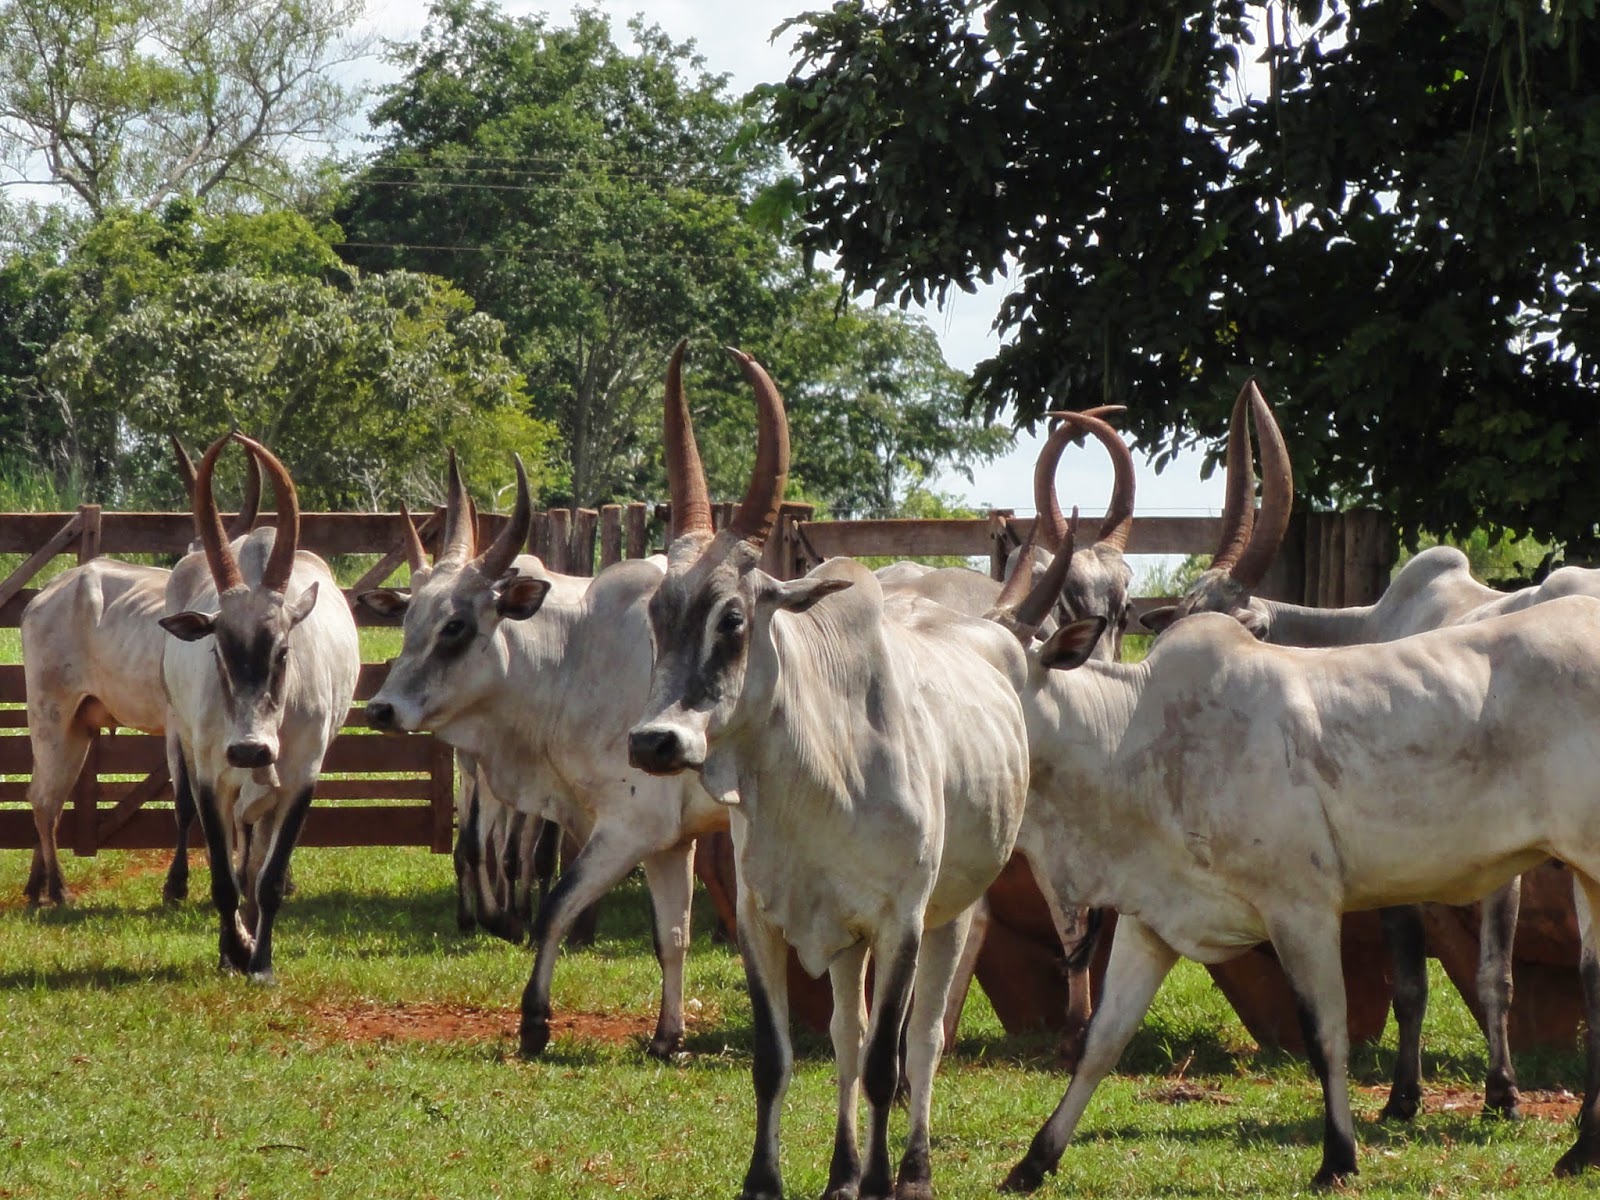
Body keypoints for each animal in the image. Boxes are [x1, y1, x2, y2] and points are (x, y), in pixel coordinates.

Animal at [19, 440, 259, 906]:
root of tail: (46, 595)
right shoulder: (177, 729)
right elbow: (188, 803)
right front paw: (177, 884)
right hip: (50, 713)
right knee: (42, 797)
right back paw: (57, 888)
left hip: (77, 727)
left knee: (50, 796)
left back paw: (38, 886)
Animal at [159, 433, 359, 982]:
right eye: (217, 650)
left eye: (283, 651)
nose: (250, 750)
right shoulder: (211, 775)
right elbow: (223, 876)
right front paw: (232, 950)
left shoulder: (301, 777)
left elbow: (267, 878)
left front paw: (261, 959)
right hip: (182, 744)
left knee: (256, 861)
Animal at [359, 380, 728, 1059]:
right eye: (409, 619)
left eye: (457, 625)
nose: (380, 709)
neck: (575, 657)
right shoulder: (669, 838)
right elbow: (672, 936)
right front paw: (668, 1037)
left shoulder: (630, 827)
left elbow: (554, 906)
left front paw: (534, 1021)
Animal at [627, 346, 1029, 1200]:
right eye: (656, 616)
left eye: (733, 619)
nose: (655, 743)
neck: (817, 781)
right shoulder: (763, 920)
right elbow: (778, 1058)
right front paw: (766, 1179)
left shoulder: (901, 921)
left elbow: (885, 1062)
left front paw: (879, 1179)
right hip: (846, 942)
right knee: (847, 1031)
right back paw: (843, 1170)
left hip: (950, 916)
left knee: (922, 1040)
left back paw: (909, 1169)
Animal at [990, 526, 1600, 1191]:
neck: (1134, 734)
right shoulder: (1152, 918)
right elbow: (1103, 1040)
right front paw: (1034, 1161)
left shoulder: (1300, 908)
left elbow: (1326, 1032)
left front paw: (1338, 1158)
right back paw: (1581, 1152)